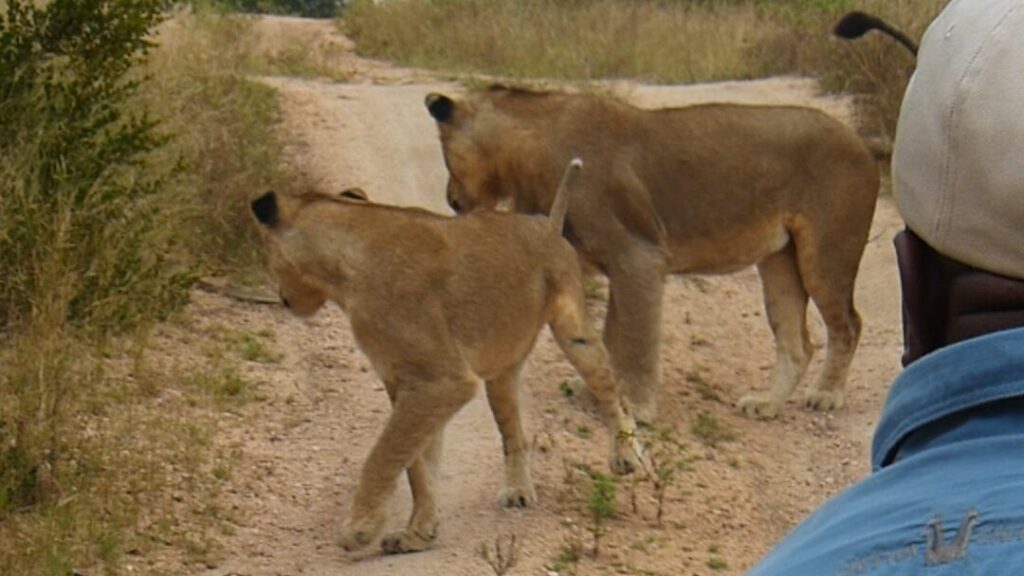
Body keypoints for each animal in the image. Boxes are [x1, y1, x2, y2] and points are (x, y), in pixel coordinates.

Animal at [250, 159, 640, 555]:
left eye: (264, 253)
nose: (281, 298)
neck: (345, 263)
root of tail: (546, 224)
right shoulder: (405, 381)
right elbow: (416, 462)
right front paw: (418, 532)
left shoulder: (442, 379)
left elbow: (384, 454)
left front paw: (360, 529)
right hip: (500, 370)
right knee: (513, 431)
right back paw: (518, 491)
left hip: (574, 330)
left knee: (612, 390)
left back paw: (627, 455)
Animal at [425, 86, 879, 421]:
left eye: (445, 155)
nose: (451, 200)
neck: (527, 156)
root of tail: (861, 141)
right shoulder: (615, 264)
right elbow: (612, 335)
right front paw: (594, 389)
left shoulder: (639, 257)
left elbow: (638, 339)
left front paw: (640, 409)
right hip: (779, 264)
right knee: (797, 343)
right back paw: (766, 405)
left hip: (827, 256)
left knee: (848, 324)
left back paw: (826, 395)